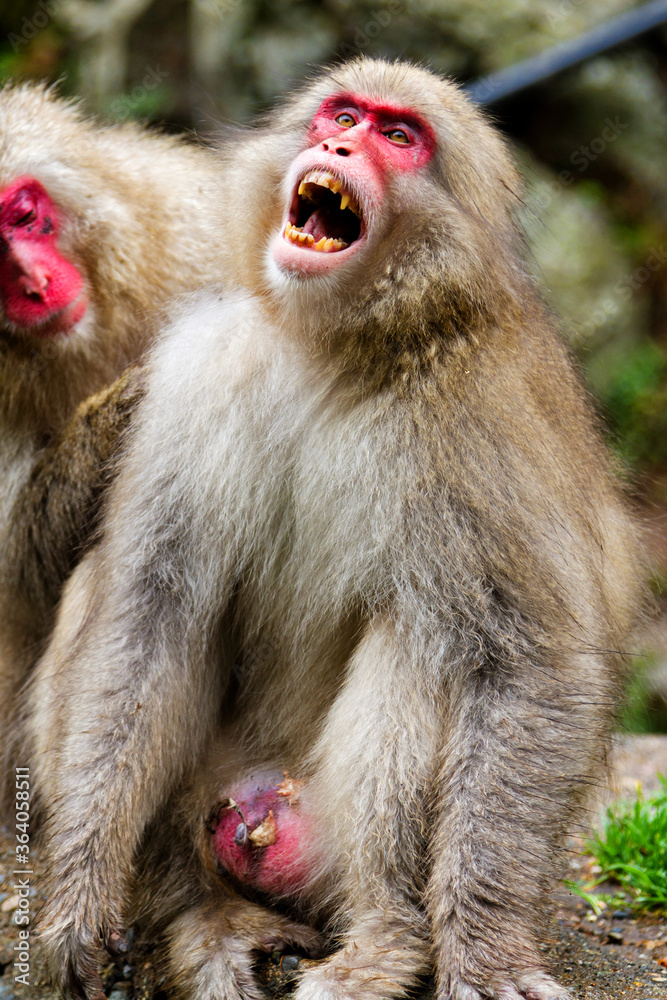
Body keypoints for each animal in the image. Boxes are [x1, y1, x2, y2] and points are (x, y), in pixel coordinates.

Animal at [28, 57, 643, 1000]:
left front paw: (484, 948)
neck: (340, 345)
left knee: (425, 633)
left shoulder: (482, 415)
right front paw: (81, 892)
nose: (342, 148)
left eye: (399, 136)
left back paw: (384, 938)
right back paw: (202, 911)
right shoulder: (195, 372)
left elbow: (531, 662)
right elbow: (149, 614)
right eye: (342, 116)